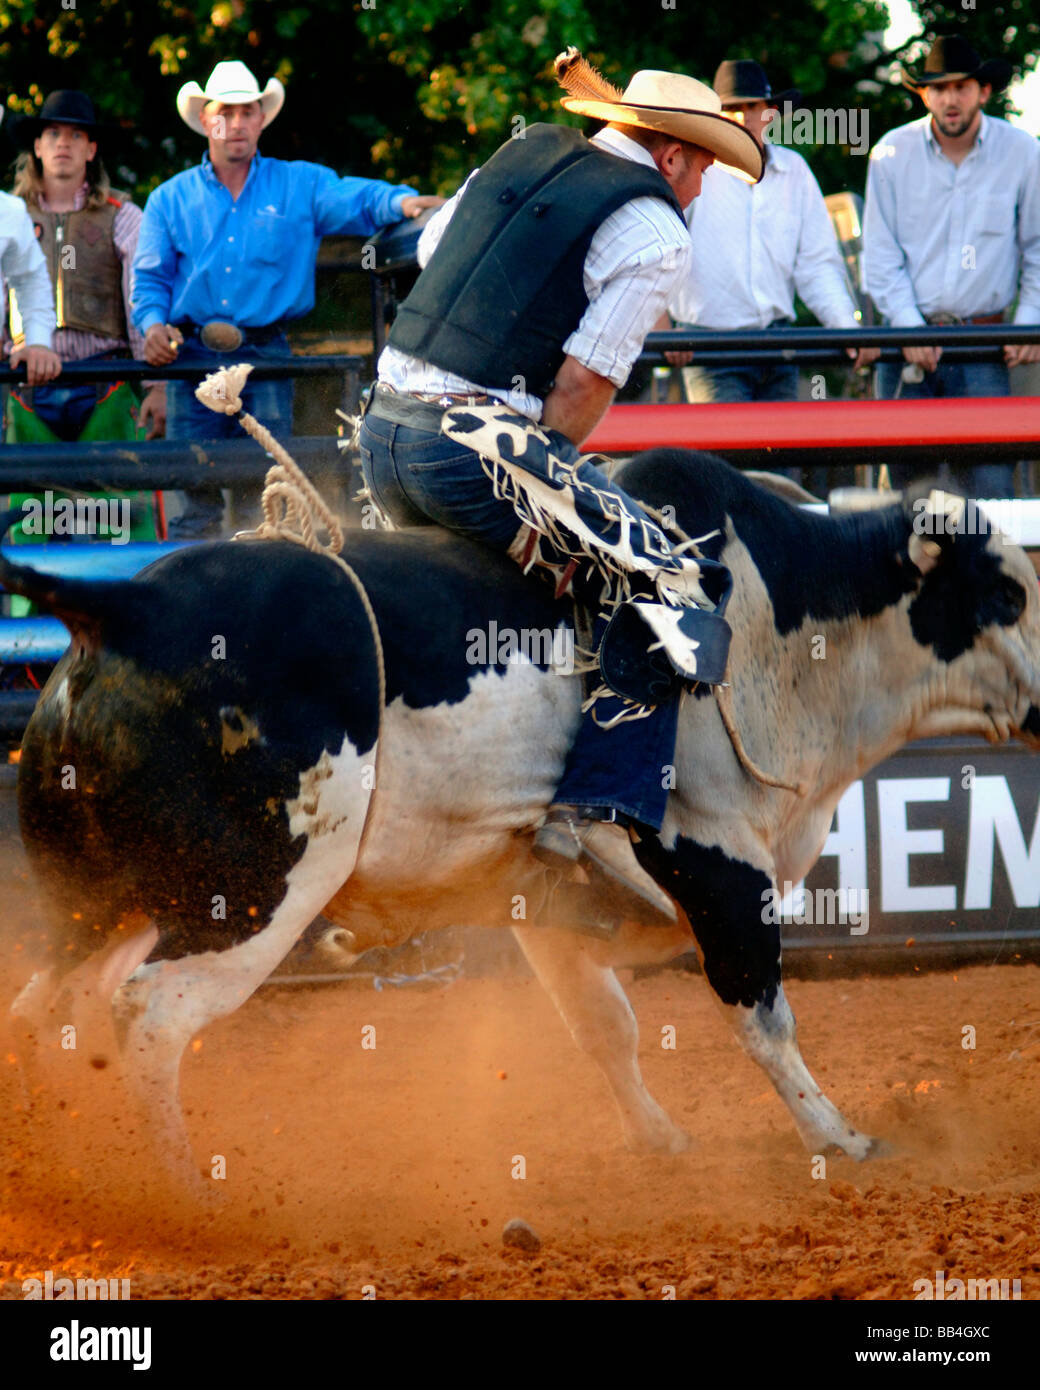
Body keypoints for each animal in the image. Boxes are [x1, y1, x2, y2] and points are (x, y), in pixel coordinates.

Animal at [2, 443, 1038, 1191]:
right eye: (1009, 592)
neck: (785, 623)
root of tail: (123, 606)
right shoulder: (713, 856)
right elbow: (761, 1012)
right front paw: (840, 1139)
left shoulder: (539, 897)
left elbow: (604, 1026)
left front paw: (660, 1139)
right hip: (255, 894)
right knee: (150, 1014)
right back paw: (184, 1193)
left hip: (89, 897)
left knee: (43, 1008)